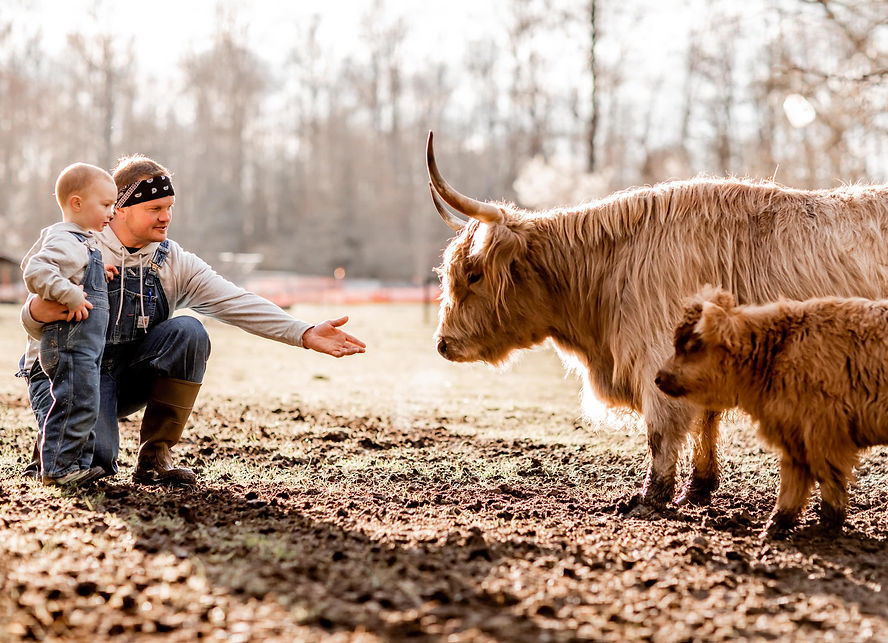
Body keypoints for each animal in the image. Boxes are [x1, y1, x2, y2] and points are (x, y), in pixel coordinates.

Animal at [425, 130, 888, 507]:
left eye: (473, 274)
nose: (442, 344)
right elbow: (704, 421)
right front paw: (698, 488)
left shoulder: (658, 355)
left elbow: (662, 431)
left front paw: (652, 496)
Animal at [655, 286, 888, 536]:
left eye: (694, 344)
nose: (658, 377)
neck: (775, 351)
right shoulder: (795, 436)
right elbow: (793, 482)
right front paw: (774, 526)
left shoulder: (823, 435)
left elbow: (827, 481)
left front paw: (823, 527)